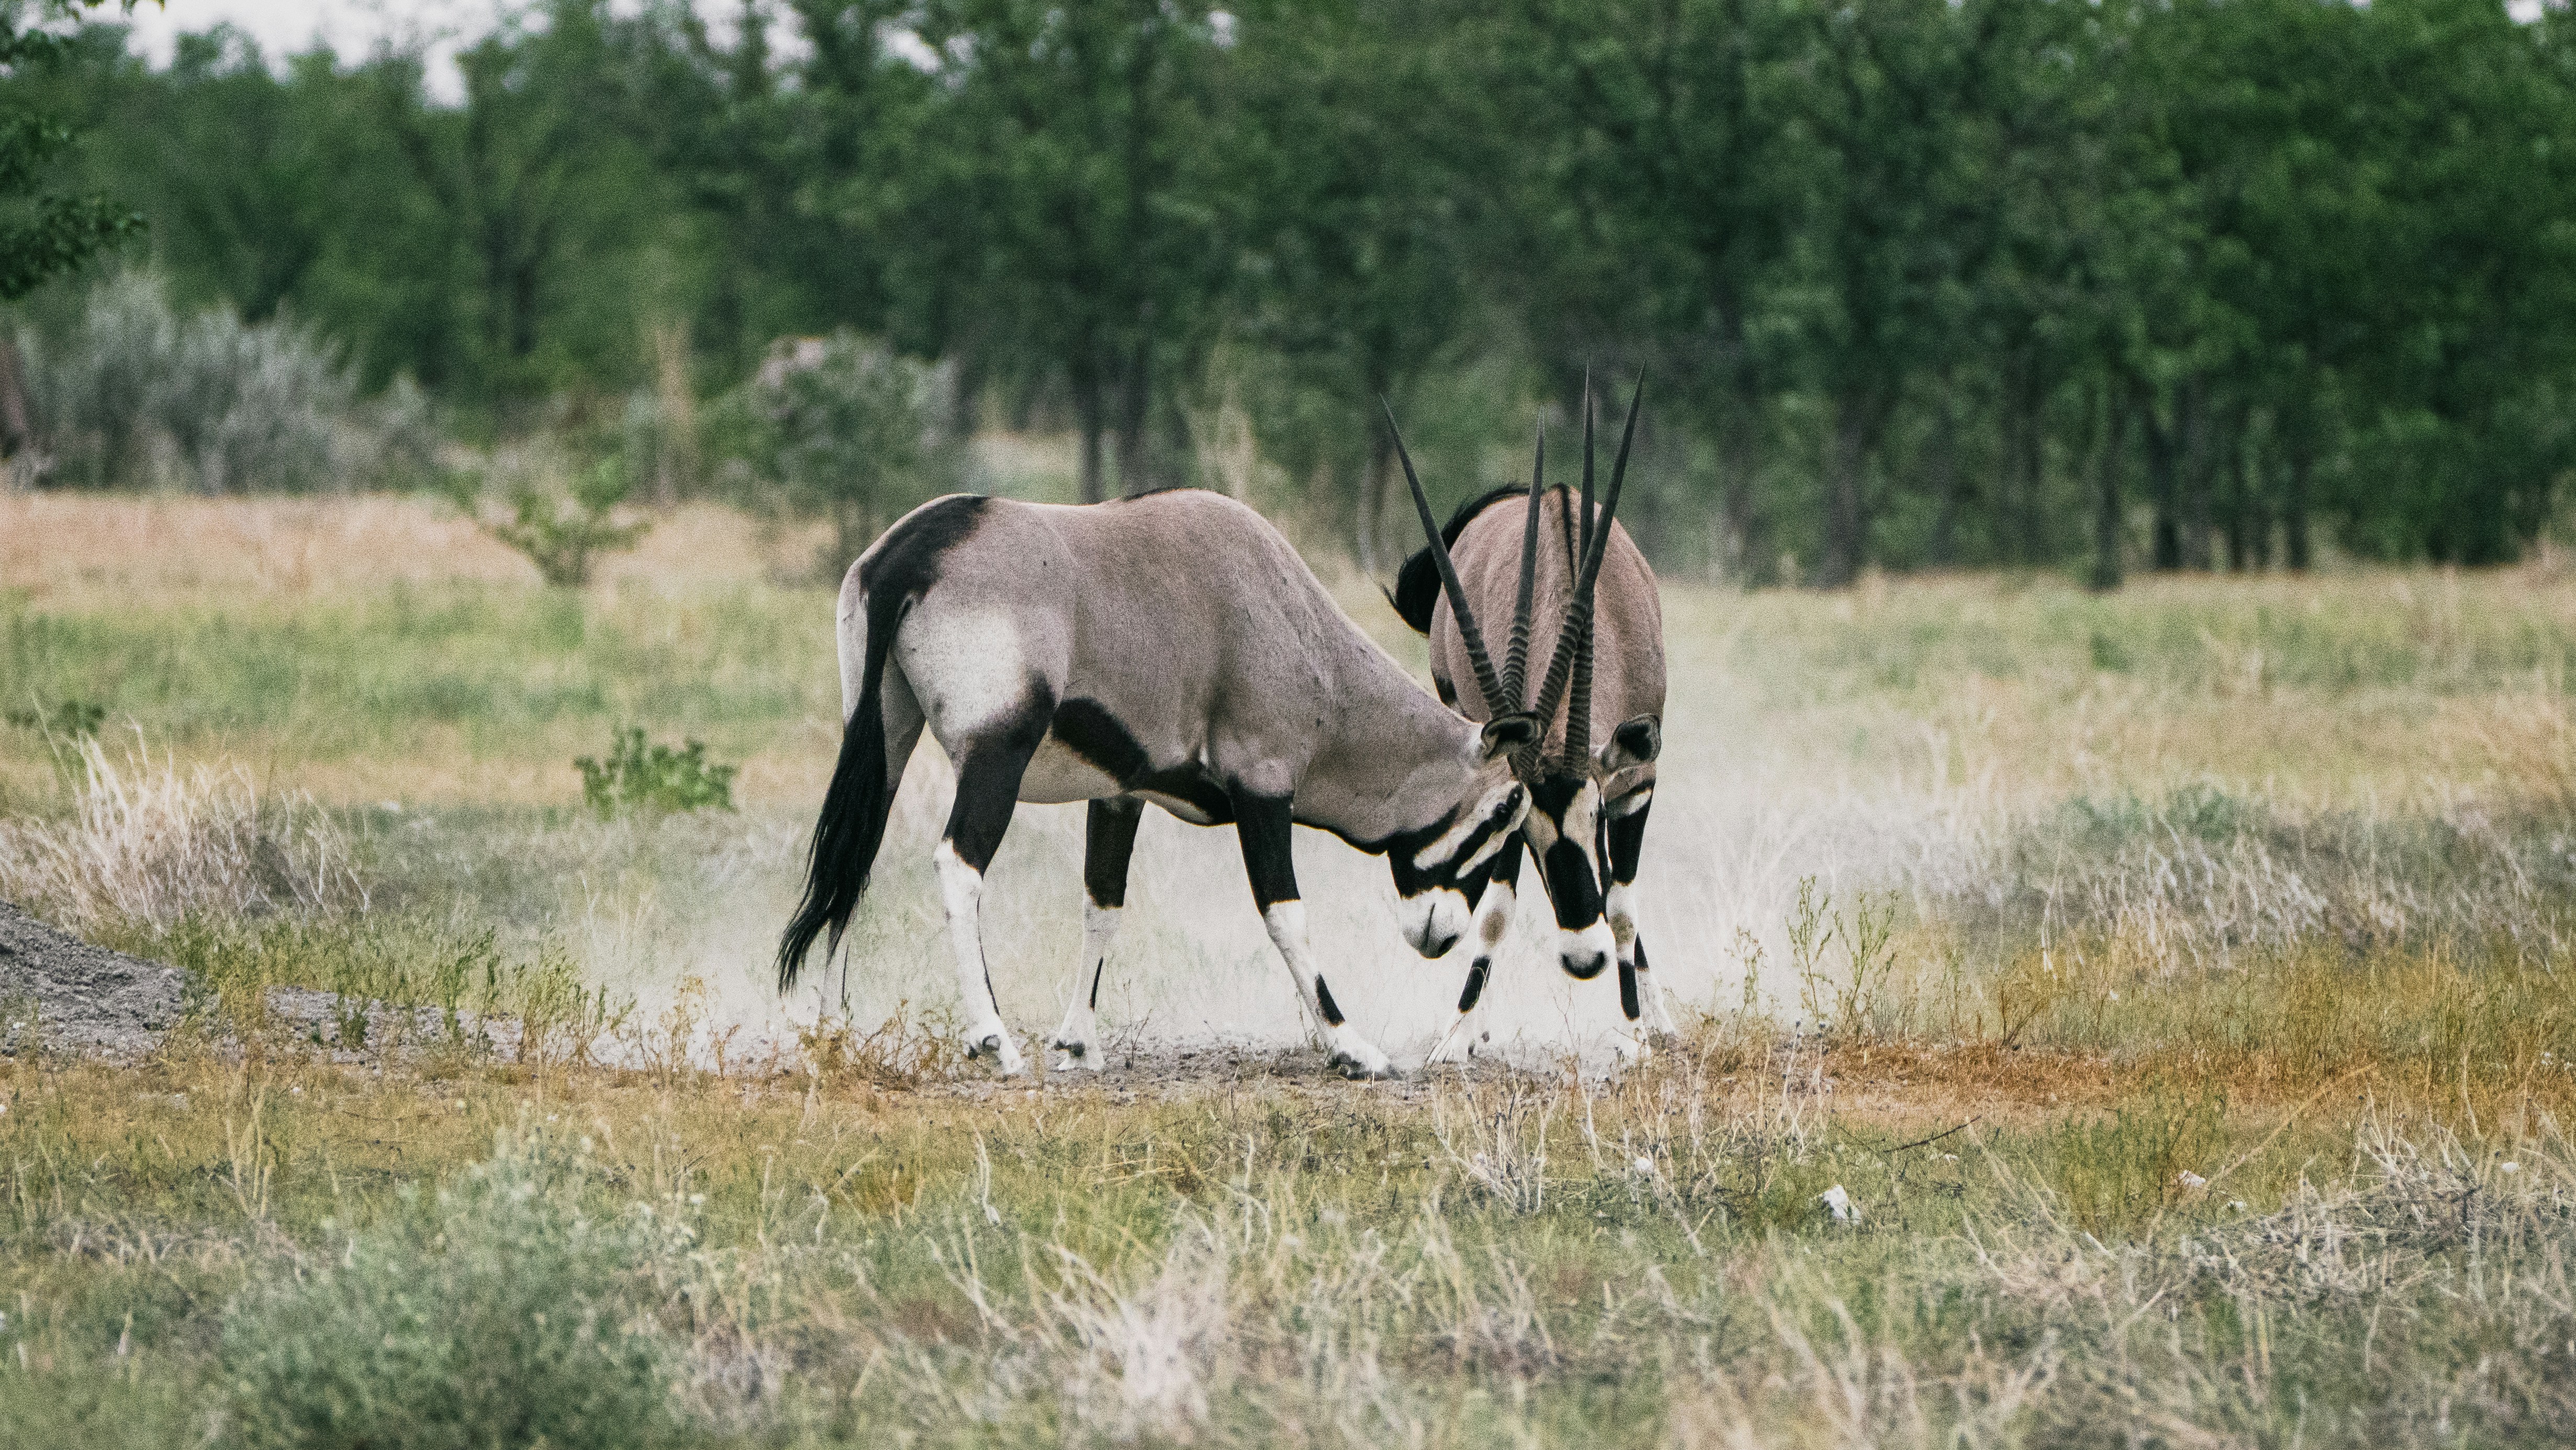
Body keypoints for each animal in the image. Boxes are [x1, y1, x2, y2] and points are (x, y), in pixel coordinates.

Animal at [775, 489, 1539, 1079]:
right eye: (1508, 806)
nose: (1439, 936)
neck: (1300, 632)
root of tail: (913, 551)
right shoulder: (1263, 785)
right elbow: (1286, 914)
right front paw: (1355, 1048)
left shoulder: (1119, 793)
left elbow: (1102, 903)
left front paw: (1077, 1043)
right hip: (997, 754)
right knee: (958, 866)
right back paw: (993, 1039)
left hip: (883, 738)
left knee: (850, 863)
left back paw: (829, 1027)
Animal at [1388, 380, 1672, 1060]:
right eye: (1531, 831)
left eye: (1596, 818)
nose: (1583, 959)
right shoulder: (1509, 794)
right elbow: (1497, 908)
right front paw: (1459, 1031)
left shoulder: (1637, 781)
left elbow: (1621, 905)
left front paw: (1635, 1030)